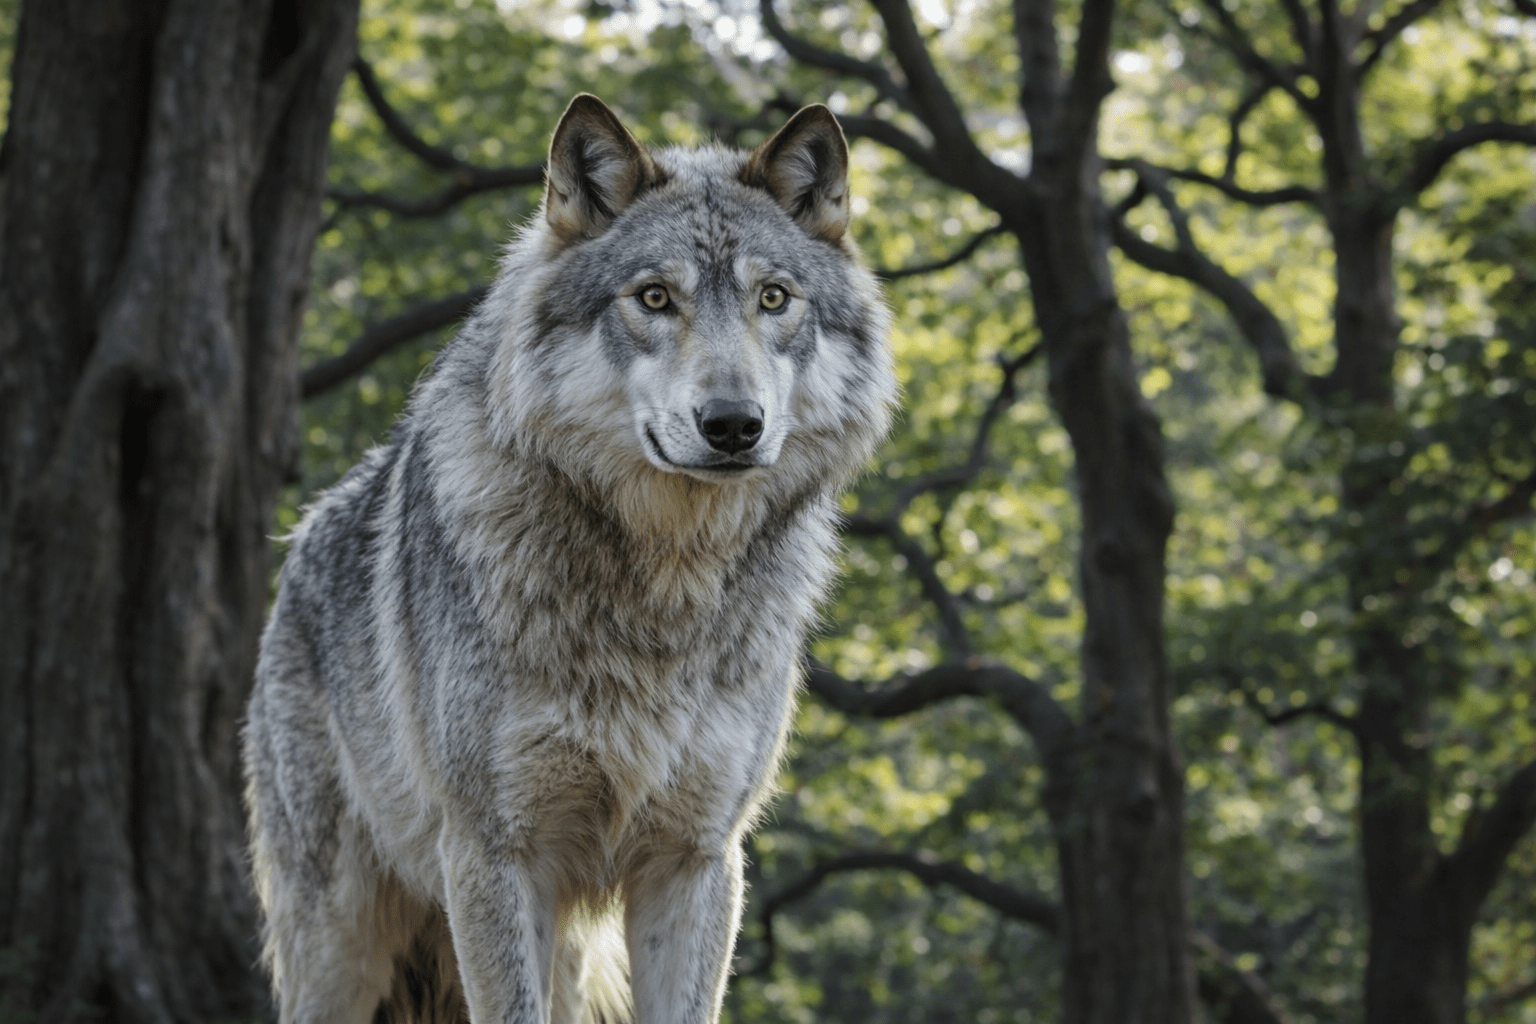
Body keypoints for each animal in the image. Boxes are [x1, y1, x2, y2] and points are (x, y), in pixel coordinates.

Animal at [243, 94, 896, 1024]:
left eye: (775, 298)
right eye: (654, 297)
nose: (734, 425)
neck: (664, 587)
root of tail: (299, 543)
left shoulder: (698, 859)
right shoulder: (495, 852)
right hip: (341, 945)